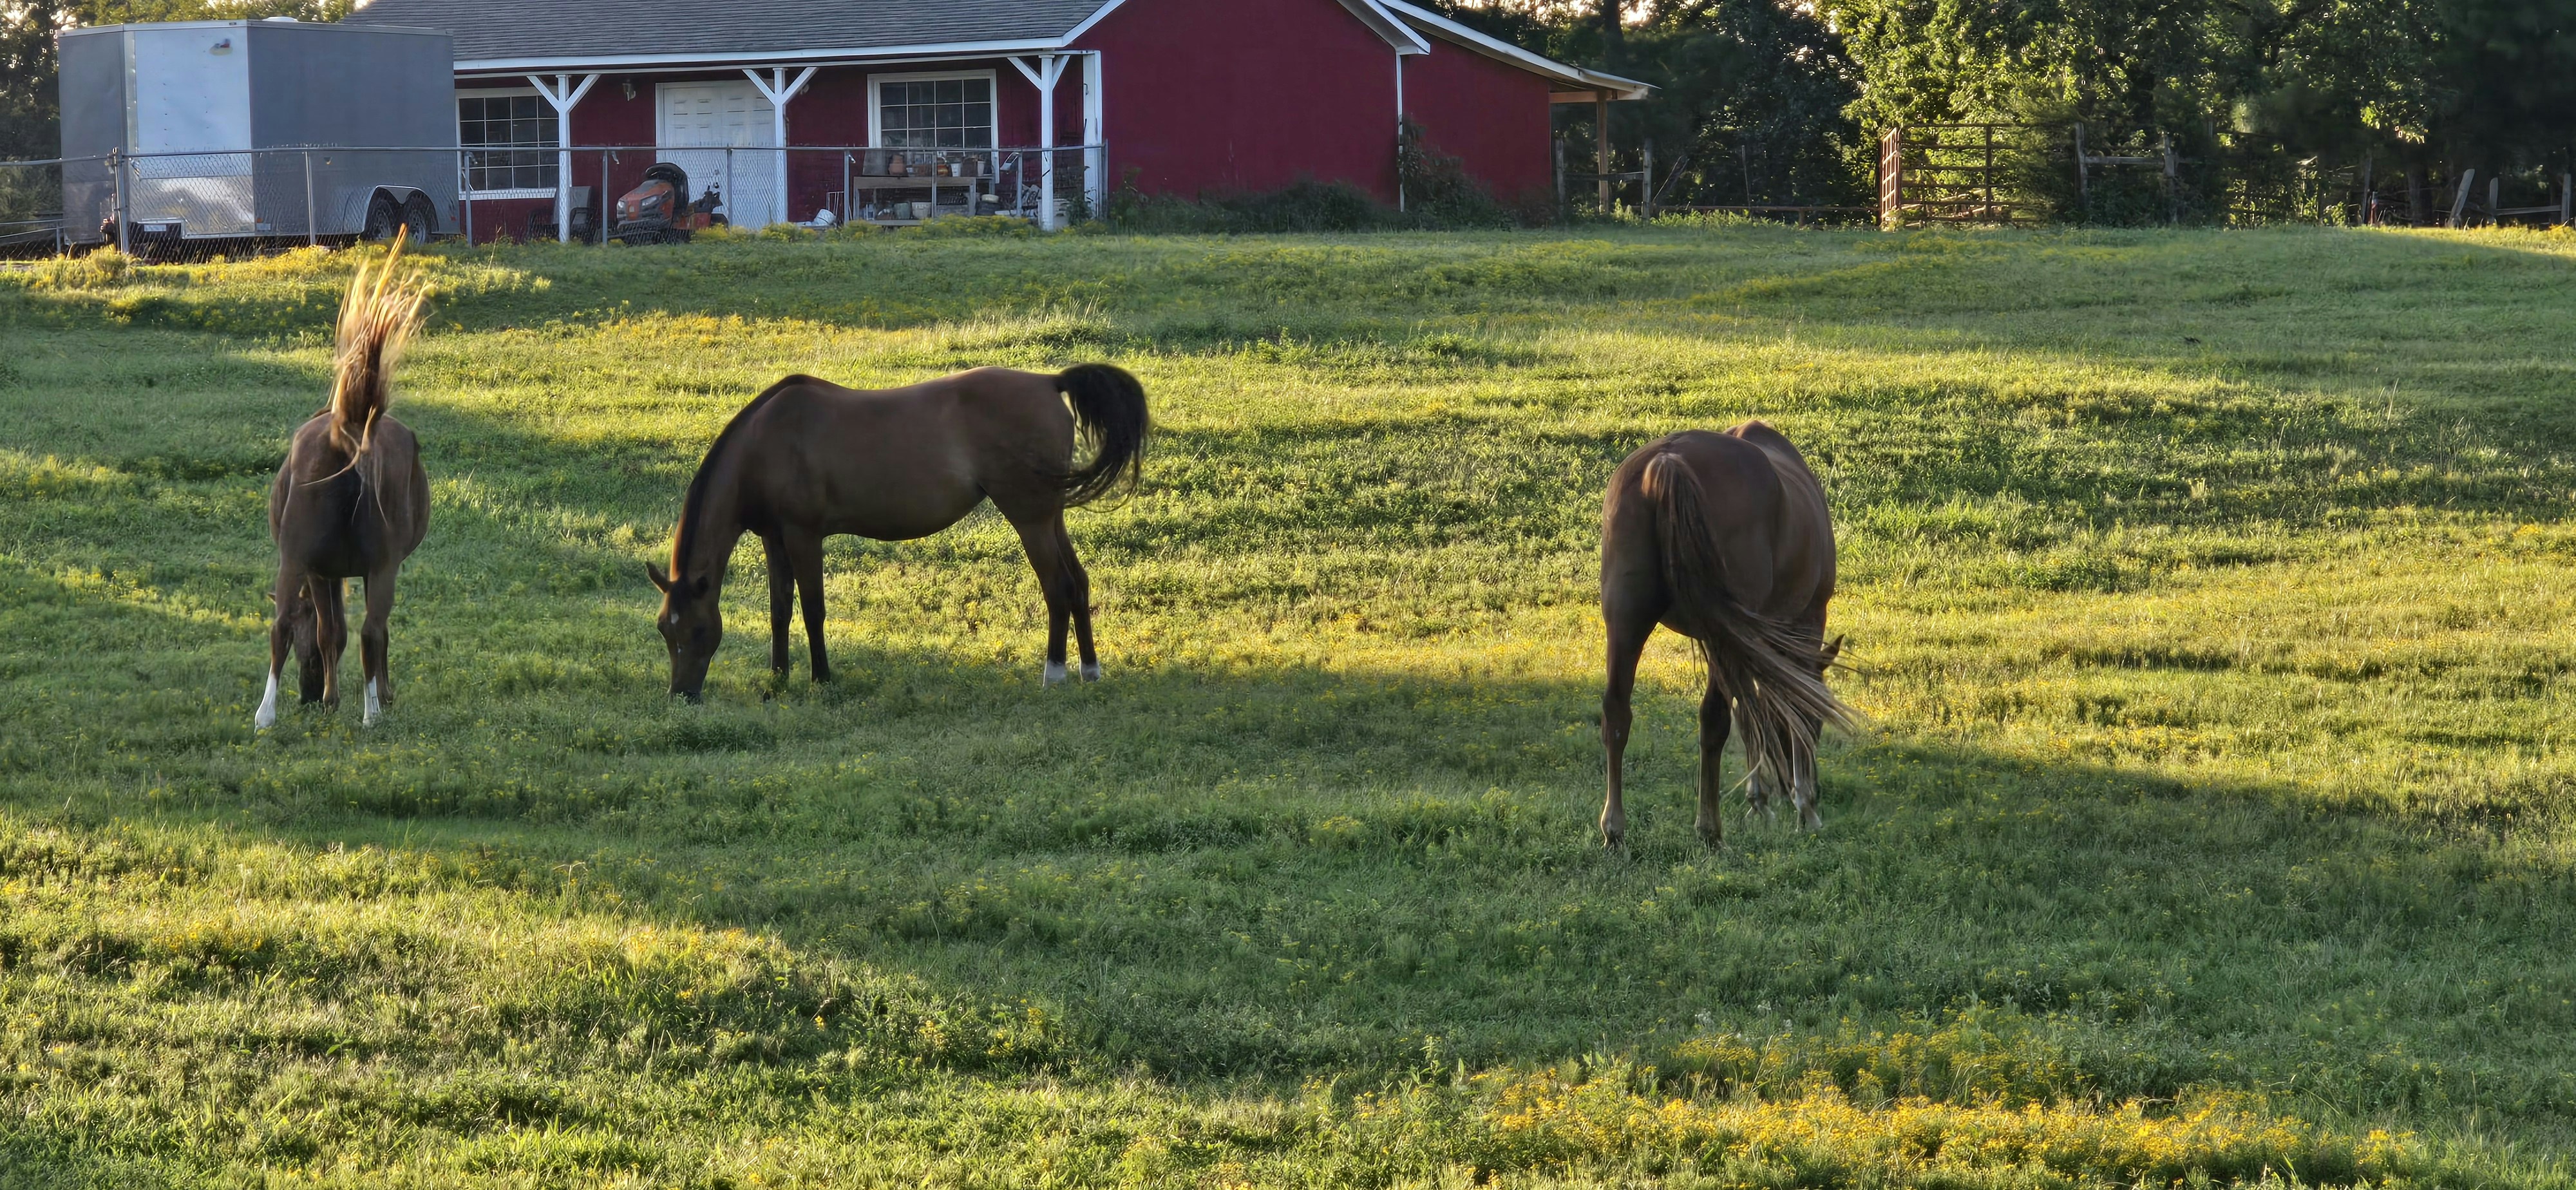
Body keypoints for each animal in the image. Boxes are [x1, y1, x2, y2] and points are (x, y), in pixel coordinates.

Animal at [256, 237, 432, 729]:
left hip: (297, 559)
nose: (308, 694)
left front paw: (334, 697)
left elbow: (329, 630)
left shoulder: (321, 571)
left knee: (281, 626)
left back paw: (265, 715)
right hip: (376, 566)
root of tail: (349, 429)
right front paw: (366, 695)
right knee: (371, 631)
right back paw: (371, 713)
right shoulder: (345, 572)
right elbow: (344, 632)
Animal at [649, 365, 1149, 701]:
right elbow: (779, 611)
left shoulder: (803, 537)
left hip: (1030, 520)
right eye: (663, 630)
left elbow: (812, 610)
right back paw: (1090, 669)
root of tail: (1048, 381)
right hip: (1050, 518)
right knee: (1078, 583)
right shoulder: (774, 539)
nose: (682, 696)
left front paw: (821, 678)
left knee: (1058, 587)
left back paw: (1055, 674)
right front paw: (778, 679)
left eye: (698, 630)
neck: (764, 445)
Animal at [1597, 422, 1854, 848]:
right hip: (1721, 633)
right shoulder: (1806, 621)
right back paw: (1710, 830)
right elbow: (1781, 706)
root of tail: (1667, 461)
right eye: (1819, 722)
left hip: (1626, 620)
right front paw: (1804, 807)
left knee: (1617, 714)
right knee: (1712, 720)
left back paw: (1615, 831)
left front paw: (1759, 801)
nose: (1790, 787)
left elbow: (1751, 710)